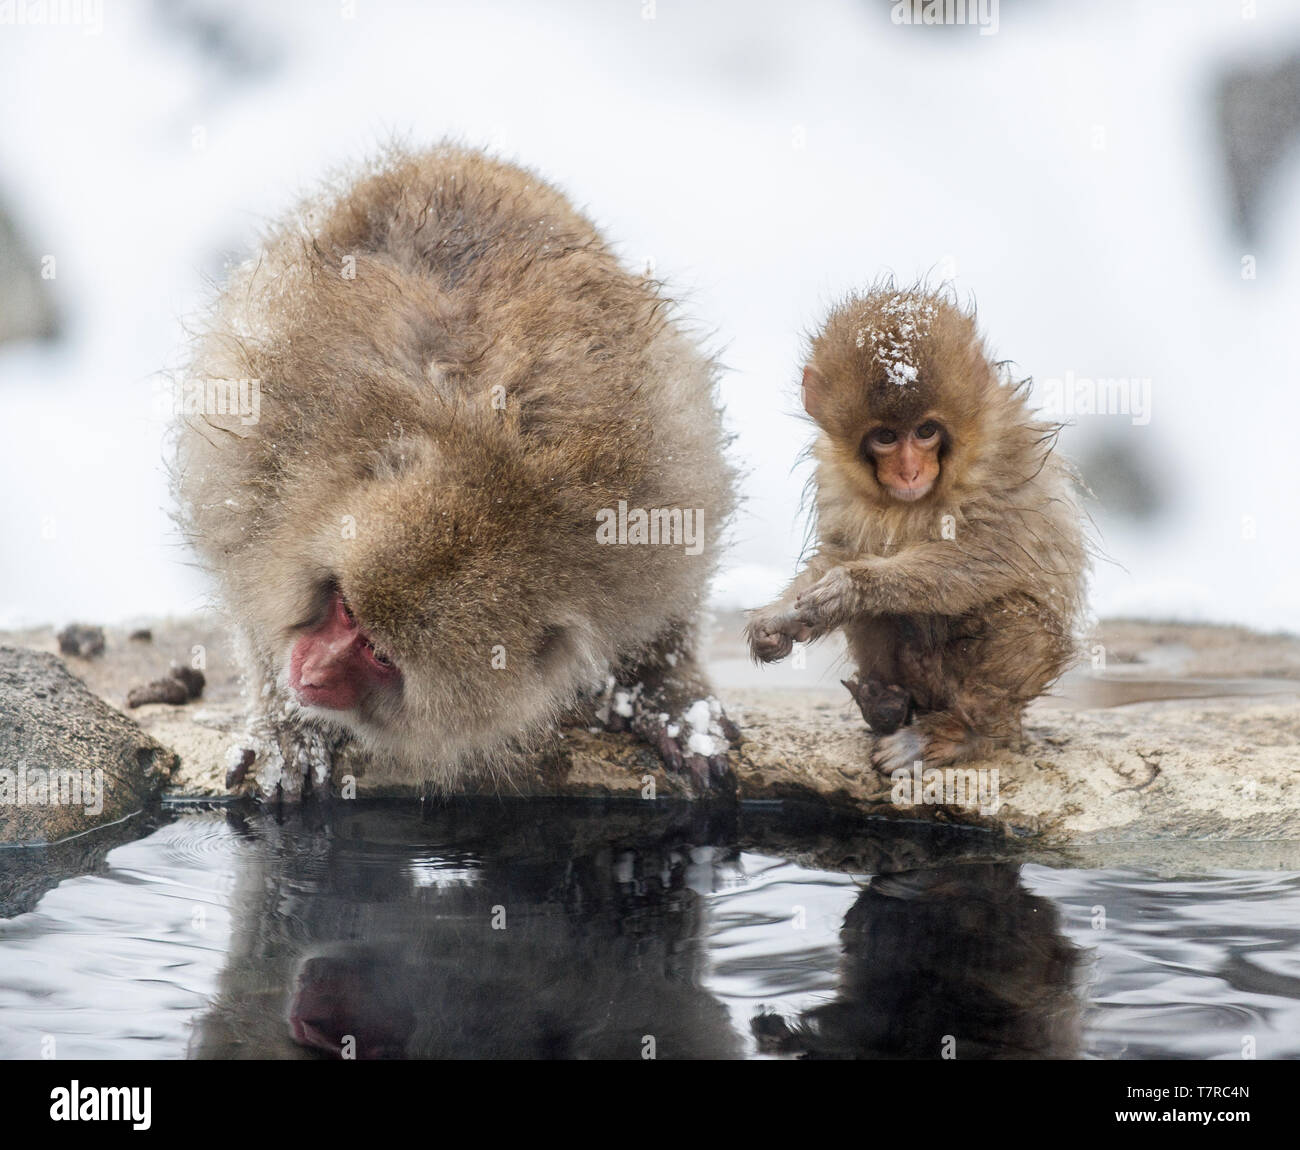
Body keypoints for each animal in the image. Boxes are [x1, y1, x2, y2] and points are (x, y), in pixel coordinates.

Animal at [173, 144, 738, 800]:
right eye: (345, 608)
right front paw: (290, 728)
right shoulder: (264, 458)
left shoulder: (651, 510)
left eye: (380, 654)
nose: (309, 676)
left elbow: (671, 584)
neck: (508, 475)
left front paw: (664, 690)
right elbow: (243, 576)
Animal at [746, 285, 1088, 774]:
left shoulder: (1001, 453)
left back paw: (959, 733)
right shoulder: (832, 468)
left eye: (926, 430)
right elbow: (840, 548)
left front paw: (854, 587)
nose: (909, 472)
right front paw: (779, 617)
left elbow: (995, 551)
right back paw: (885, 704)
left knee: (1015, 619)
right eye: (886, 437)